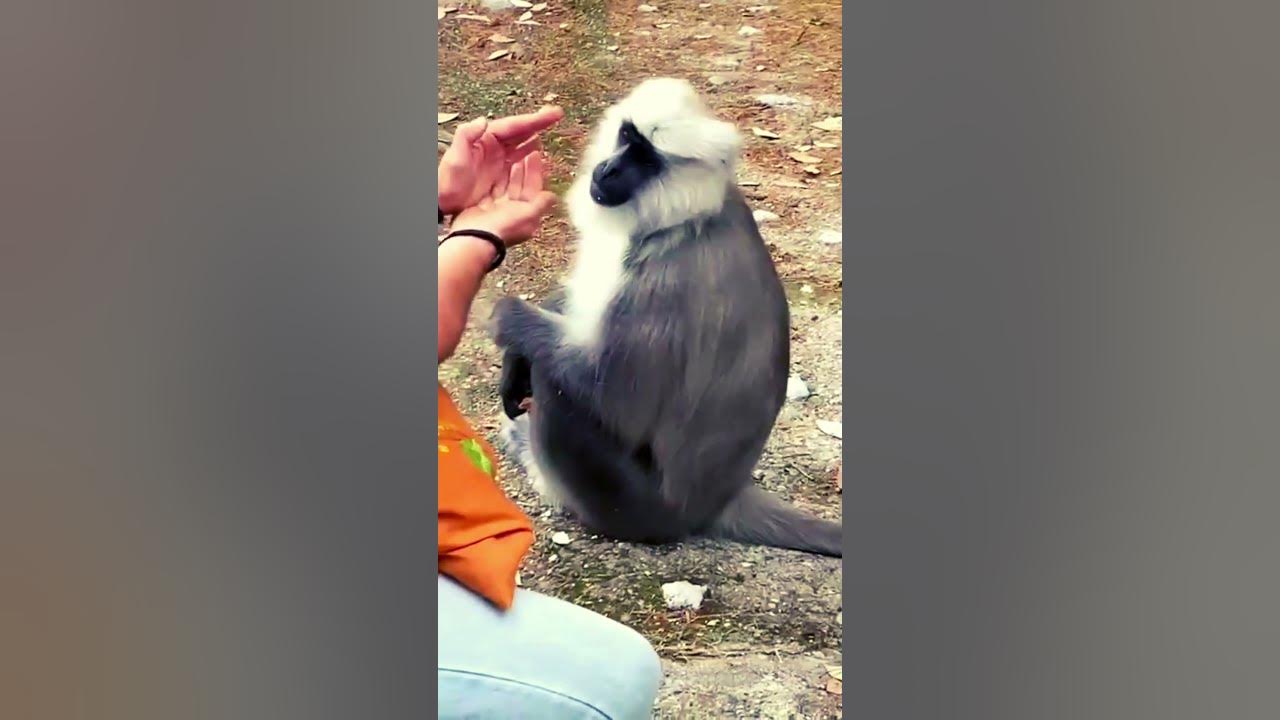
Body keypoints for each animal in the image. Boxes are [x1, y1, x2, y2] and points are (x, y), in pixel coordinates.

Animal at [491, 78, 842, 557]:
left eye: (645, 160)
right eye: (627, 137)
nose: (608, 170)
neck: (682, 219)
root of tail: (719, 500)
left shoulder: (667, 280)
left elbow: (618, 399)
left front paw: (506, 318)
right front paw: (513, 364)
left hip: (635, 505)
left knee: (556, 386)